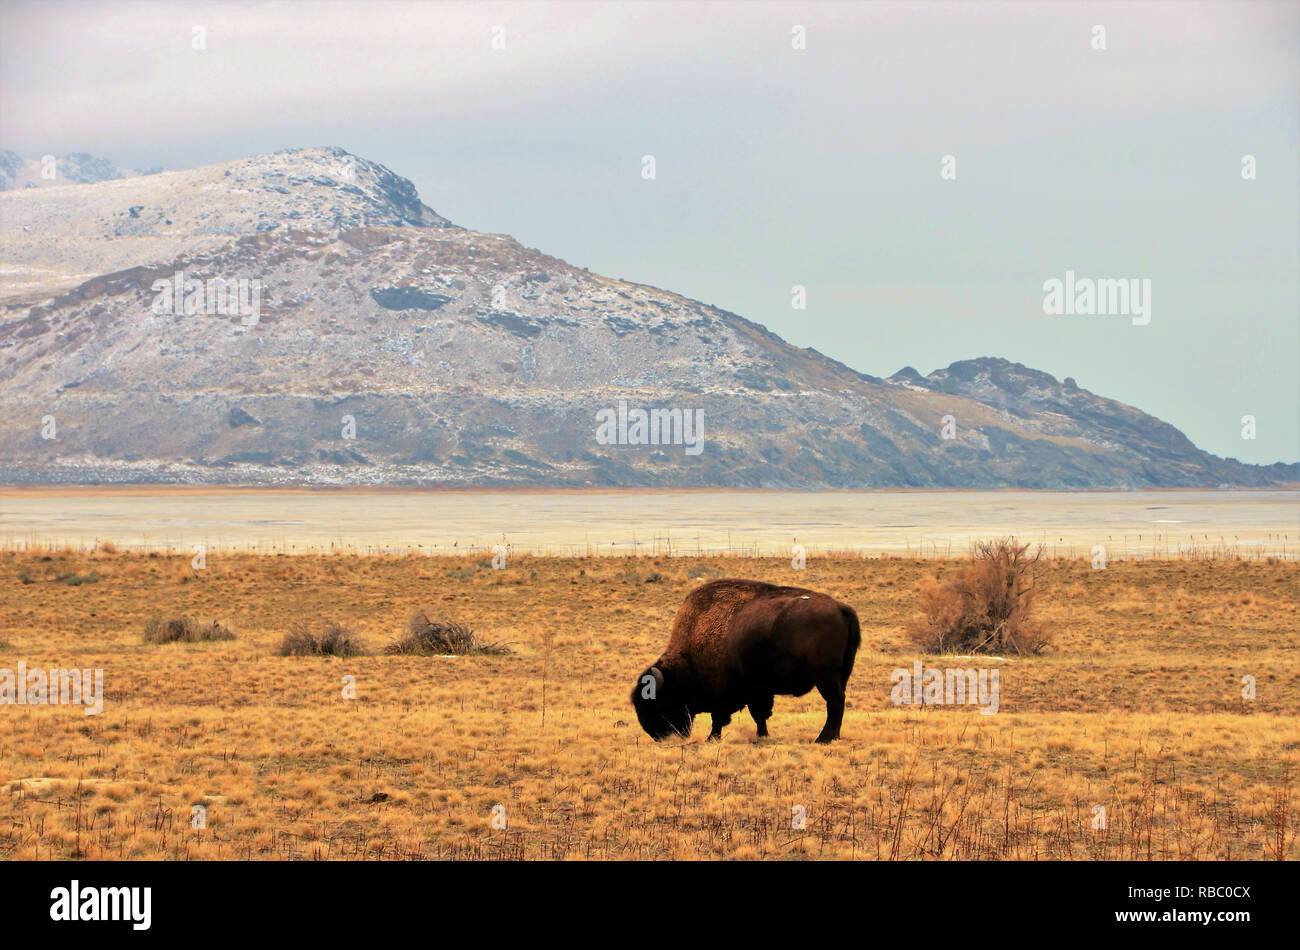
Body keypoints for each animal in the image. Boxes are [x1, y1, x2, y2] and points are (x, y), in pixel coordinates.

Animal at [631, 579, 860, 743]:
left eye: (659, 701)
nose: (656, 735)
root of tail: (841, 608)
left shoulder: (729, 693)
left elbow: (722, 718)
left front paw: (711, 738)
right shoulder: (758, 690)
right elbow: (759, 715)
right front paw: (762, 735)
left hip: (825, 675)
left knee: (834, 701)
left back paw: (823, 739)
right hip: (842, 673)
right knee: (838, 702)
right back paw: (832, 736)